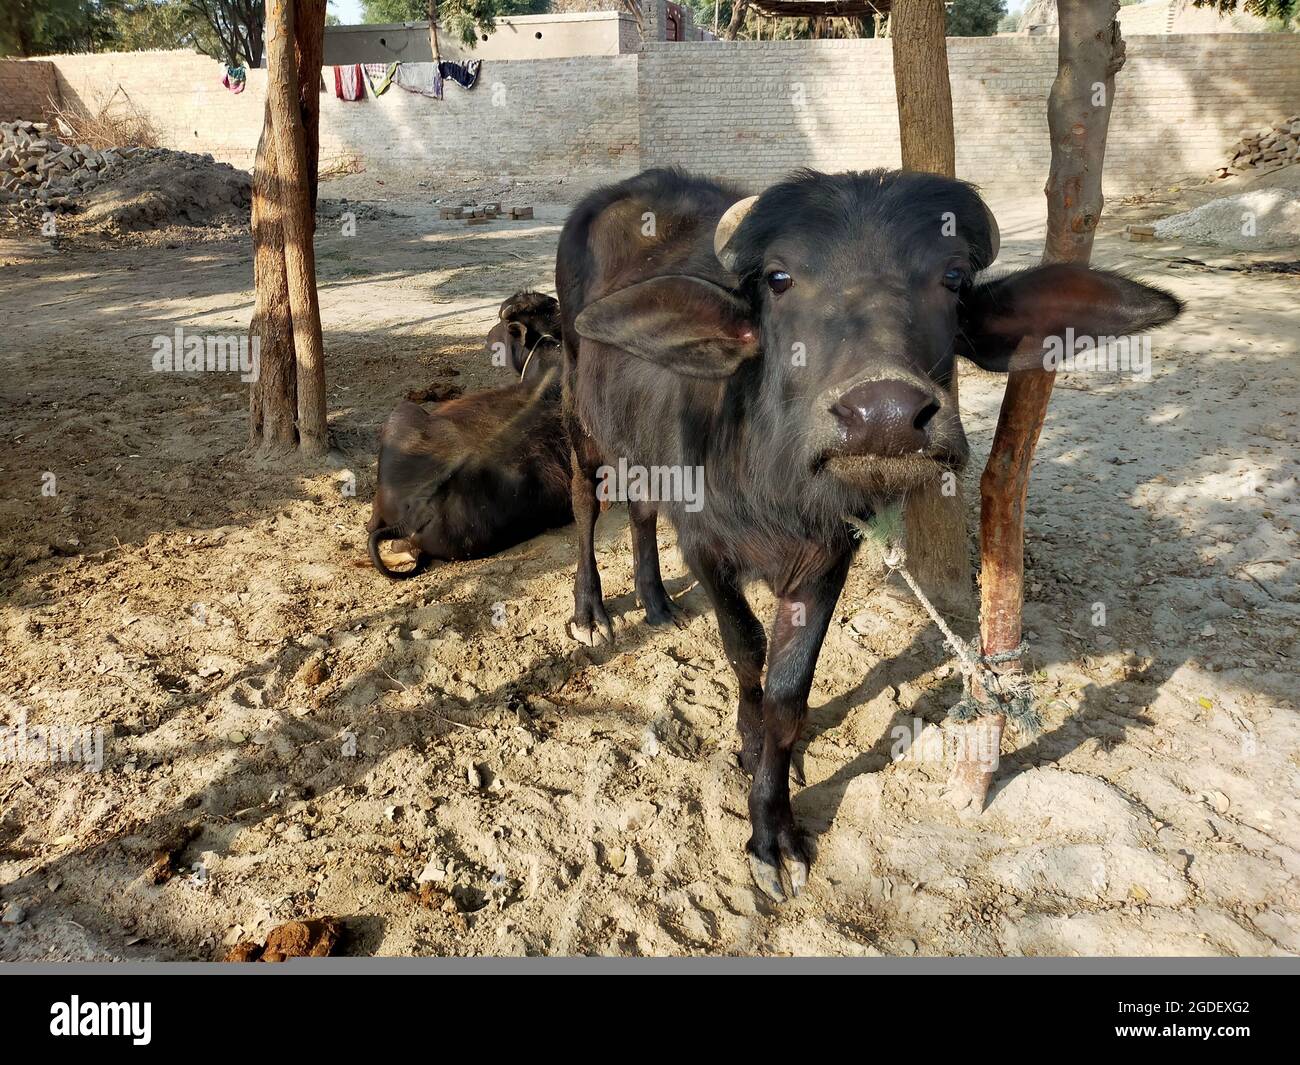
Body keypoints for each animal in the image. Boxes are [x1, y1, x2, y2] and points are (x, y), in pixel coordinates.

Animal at [556, 167, 1182, 901]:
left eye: (952, 277)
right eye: (780, 278)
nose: (884, 413)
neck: (774, 482)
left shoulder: (828, 555)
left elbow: (788, 692)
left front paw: (775, 824)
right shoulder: (706, 544)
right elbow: (745, 653)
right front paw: (748, 744)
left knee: (639, 508)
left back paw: (654, 599)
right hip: (578, 408)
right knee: (586, 498)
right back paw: (592, 611)